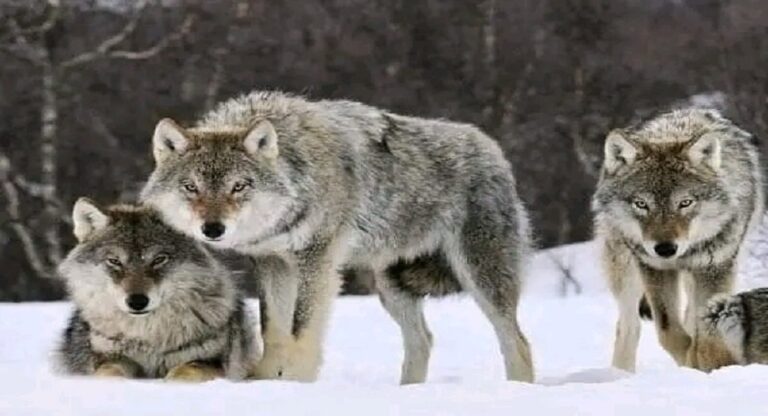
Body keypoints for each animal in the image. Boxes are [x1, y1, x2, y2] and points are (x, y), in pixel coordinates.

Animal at [56, 199, 260, 381]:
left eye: (159, 259)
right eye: (114, 261)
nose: (137, 301)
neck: (148, 336)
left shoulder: (210, 362)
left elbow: (184, 373)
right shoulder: (110, 358)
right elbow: (109, 373)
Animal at [140, 91, 533, 384]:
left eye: (239, 186)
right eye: (191, 187)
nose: (213, 229)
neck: (299, 172)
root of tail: (494, 150)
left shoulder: (317, 260)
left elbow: (301, 330)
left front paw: (297, 383)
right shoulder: (272, 262)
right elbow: (273, 330)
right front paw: (266, 382)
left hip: (480, 277)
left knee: (518, 343)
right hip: (390, 287)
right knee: (423, 340)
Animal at [593, 109, 763, 372]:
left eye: (685, 203)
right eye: (641, 204)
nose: (665, 249)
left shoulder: (715, 269)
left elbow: (701, 328)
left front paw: (699, 361)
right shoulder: (655, 268)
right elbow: (668, 331)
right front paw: (689, 361)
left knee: (690, 314)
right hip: (627, 270)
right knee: (628, 327)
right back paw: (621, 374)